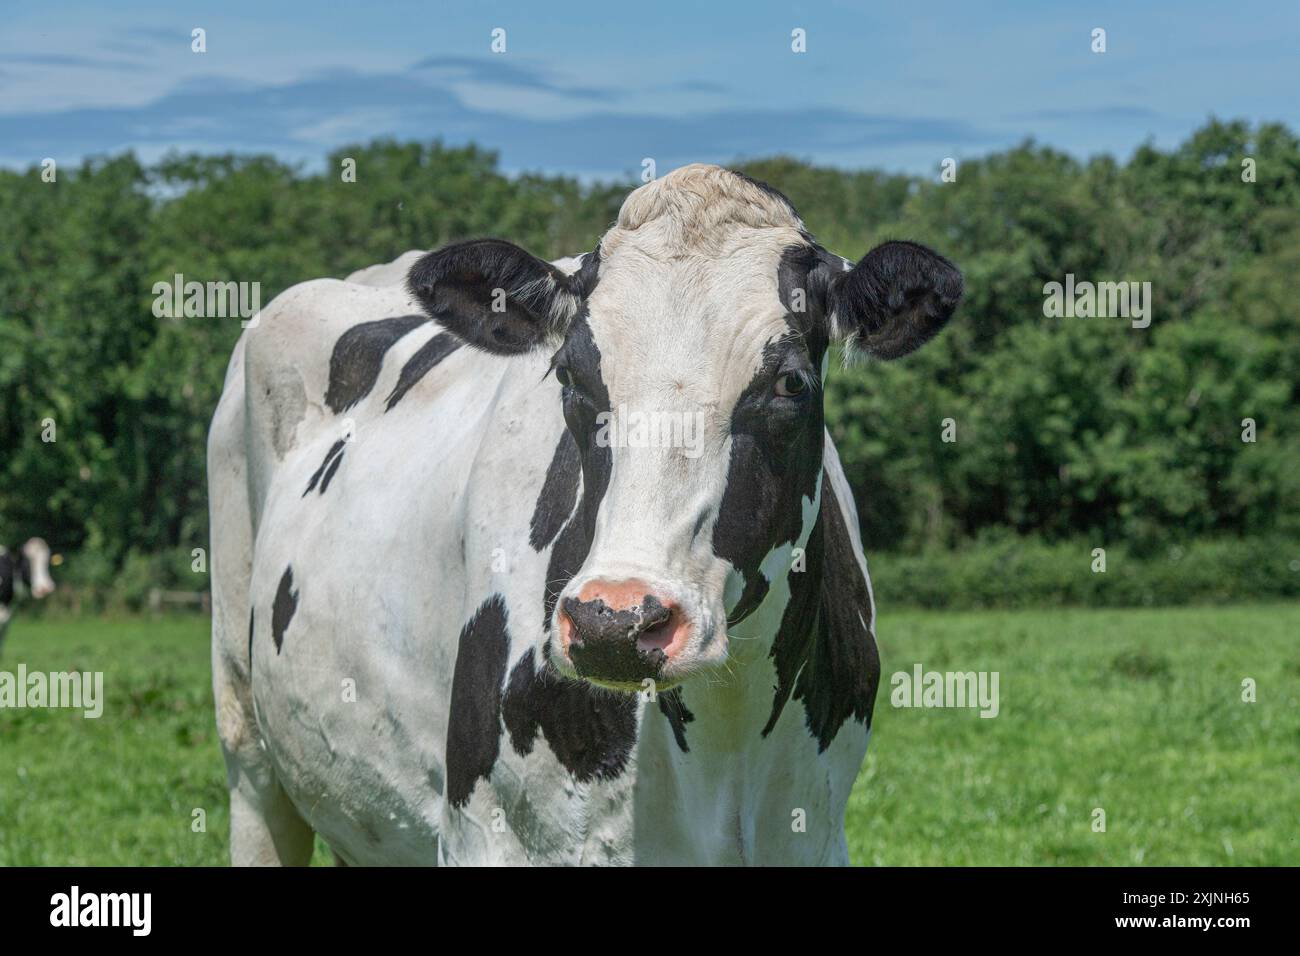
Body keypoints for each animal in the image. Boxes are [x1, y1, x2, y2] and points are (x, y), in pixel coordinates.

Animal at [209, 164, 961, 866]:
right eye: (571, 376)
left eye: (791, 382)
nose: (615, 623)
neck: (727, 737)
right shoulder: (485, 835)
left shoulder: (814, 838)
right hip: (247, 737)